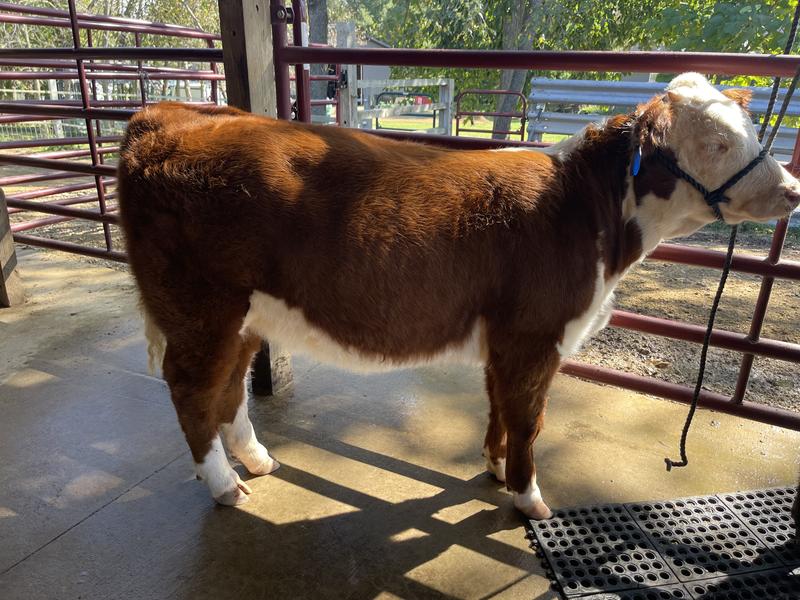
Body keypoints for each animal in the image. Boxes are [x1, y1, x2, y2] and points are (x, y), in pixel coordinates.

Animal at [117, 73, 800, 519]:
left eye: (748, 128)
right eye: (715, 143)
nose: (792, 189)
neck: (585, 210)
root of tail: (170, 115)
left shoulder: (507, 338)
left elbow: (499, 405)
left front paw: (495, 468)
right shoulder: (534, 335)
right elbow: (529, 419)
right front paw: (529, 498)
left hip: (241, 316)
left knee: (228, 388)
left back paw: (256, 461)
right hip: (201, 309)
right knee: (193, 391)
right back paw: (225, 486)